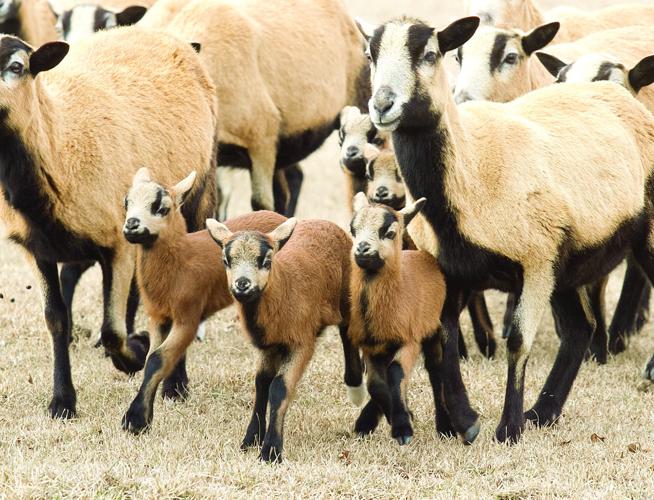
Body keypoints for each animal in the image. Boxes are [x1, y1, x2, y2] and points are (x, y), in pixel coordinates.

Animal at [0, 27, 218, 419]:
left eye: (17, 67)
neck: (57, 144)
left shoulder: (116, 243)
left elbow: (113, 331)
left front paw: (135, 353)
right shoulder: (36, 250)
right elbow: (56, 319)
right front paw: (62, 402)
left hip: (198, 194)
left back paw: (176, 385)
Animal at [120, 168, 297, 432]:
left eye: (161, 207)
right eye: (127, 203)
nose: (131, 226)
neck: (180, 260)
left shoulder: (188, 317)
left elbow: (157, 359)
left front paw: (134, 420)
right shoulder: (159, 317)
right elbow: (153, 359)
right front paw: (145, 416)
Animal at [205, 216, 360, 463]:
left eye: (266, 261)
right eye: (226, 260)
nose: (242, 285)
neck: (281, 290)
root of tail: (323, 221)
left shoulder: (302, 343)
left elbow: (279, 387)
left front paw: (271, 450)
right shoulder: (268, 346)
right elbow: (261, 384)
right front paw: (251, 439)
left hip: (347, 295)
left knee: (348, 331)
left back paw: (356, 382)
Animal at [348, 193, 480, 444]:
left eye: (389, 232)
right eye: (353, 230)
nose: (362, 249)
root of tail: (422, 253)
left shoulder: (410, 340)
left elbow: (396, 373)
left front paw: (403, 429)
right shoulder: (371, 347)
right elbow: (376, 385)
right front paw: (399, 418)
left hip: (433, 329)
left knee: (436, 370)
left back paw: (449, 427)